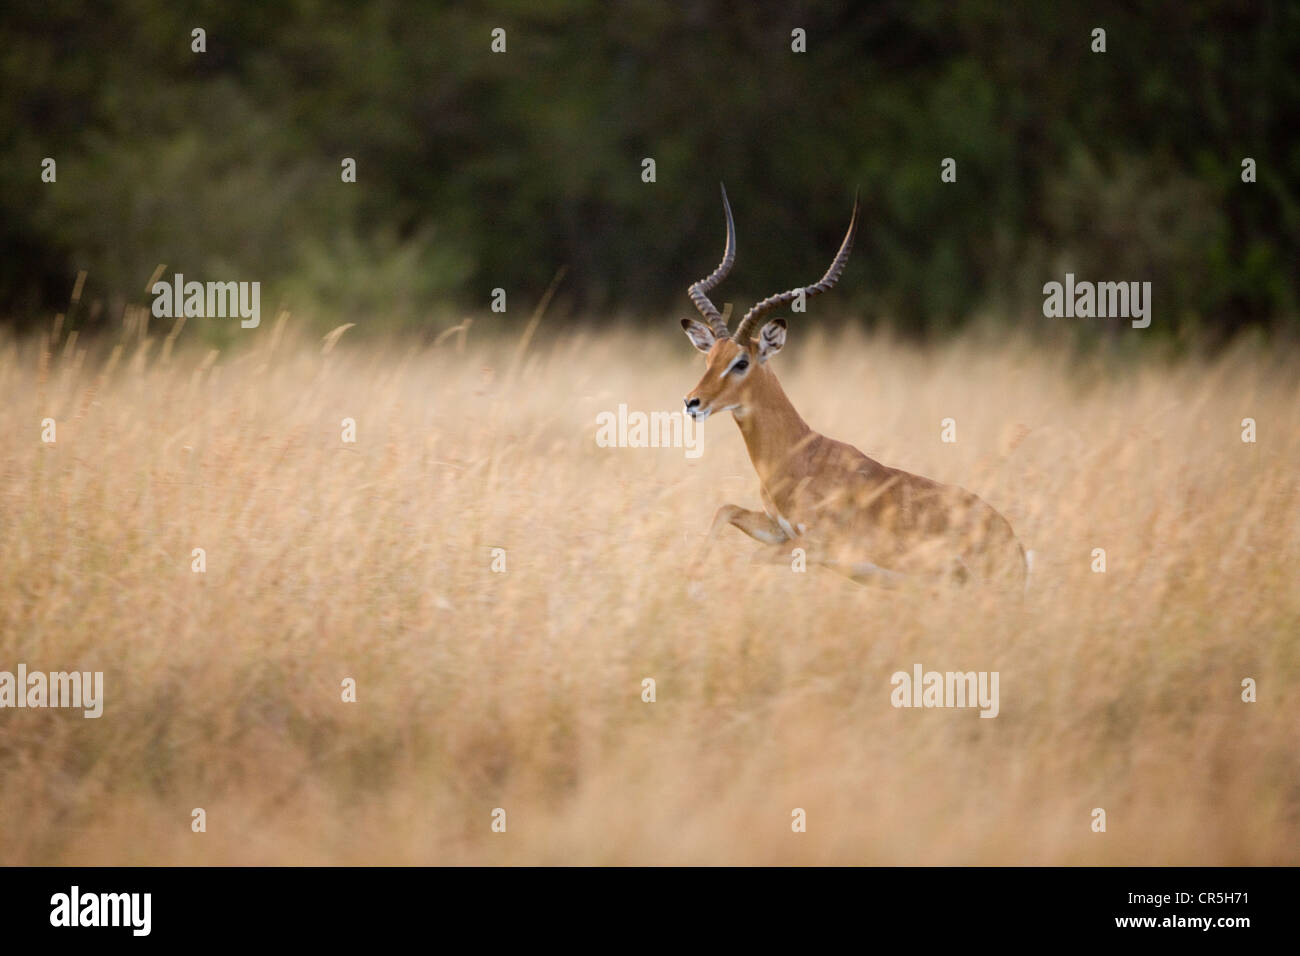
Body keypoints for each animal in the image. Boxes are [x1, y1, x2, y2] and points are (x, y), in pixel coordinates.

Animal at [681, 185, 1028, 590]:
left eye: (741, 362)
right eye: (709, 358)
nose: (692, 402)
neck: (798, 456)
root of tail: (1017, 551)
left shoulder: (813, 545)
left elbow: (748, 560)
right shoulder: (778, 529)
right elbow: (725, 510)